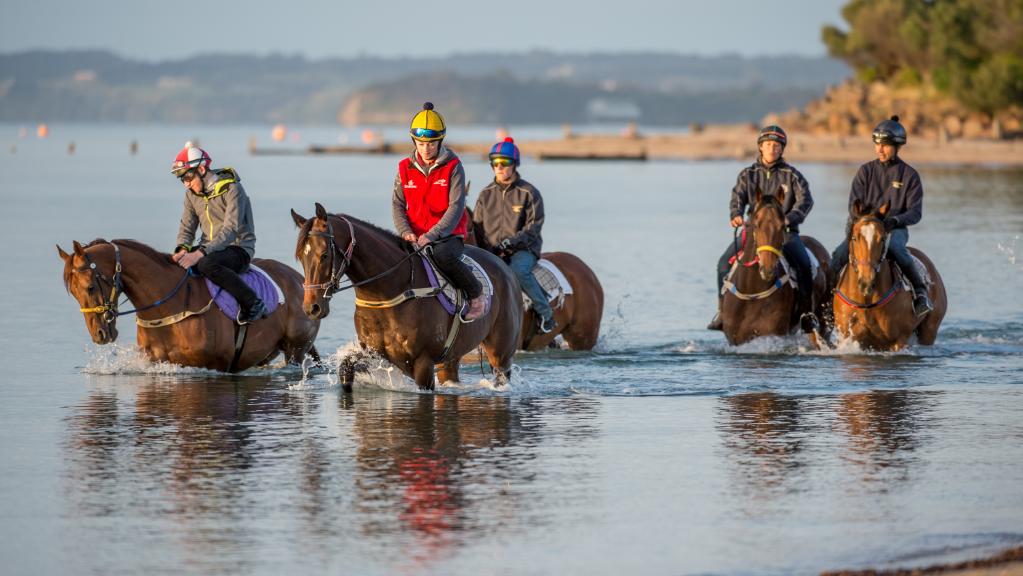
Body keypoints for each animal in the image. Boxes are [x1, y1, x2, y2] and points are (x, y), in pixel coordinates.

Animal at [58, 239, 321, 372]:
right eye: (74, 294)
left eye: (90, 287)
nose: (100, 334)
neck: (168, 304)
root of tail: (300, 280)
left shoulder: (216, 366)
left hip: (295, 350)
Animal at [291, 203, 522, 392]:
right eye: (301, 256)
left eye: (324, 255)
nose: (311, 307)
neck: (388, 290)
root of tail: (505, 269)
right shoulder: (376, 353)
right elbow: (346, 369)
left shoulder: (423, 363)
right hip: (450, 360)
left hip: (500, 356)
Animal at [832, 201, 947, 350]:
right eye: (854, 238)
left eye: (882, 239)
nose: (866, 282)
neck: (867, 301)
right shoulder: (849, 338)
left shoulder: (899, 340)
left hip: (929, 331)